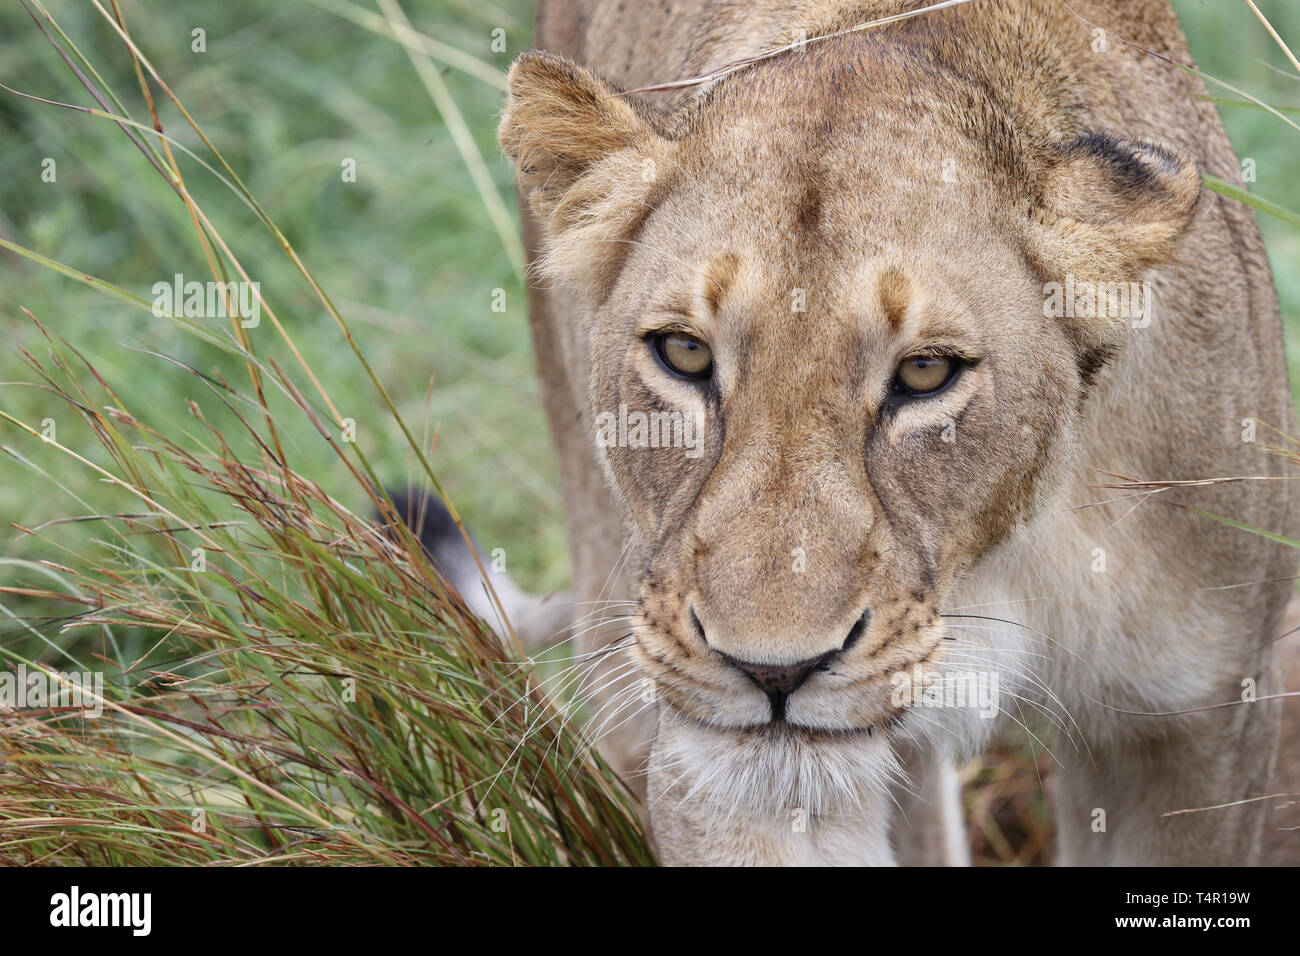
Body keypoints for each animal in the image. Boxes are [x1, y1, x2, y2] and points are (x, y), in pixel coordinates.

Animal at [429, 0, 1300, 865]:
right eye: (684, 353)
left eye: (926, 372)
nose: (772, 672)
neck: (988, 568)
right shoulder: (722, 769)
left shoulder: (1199, 725)